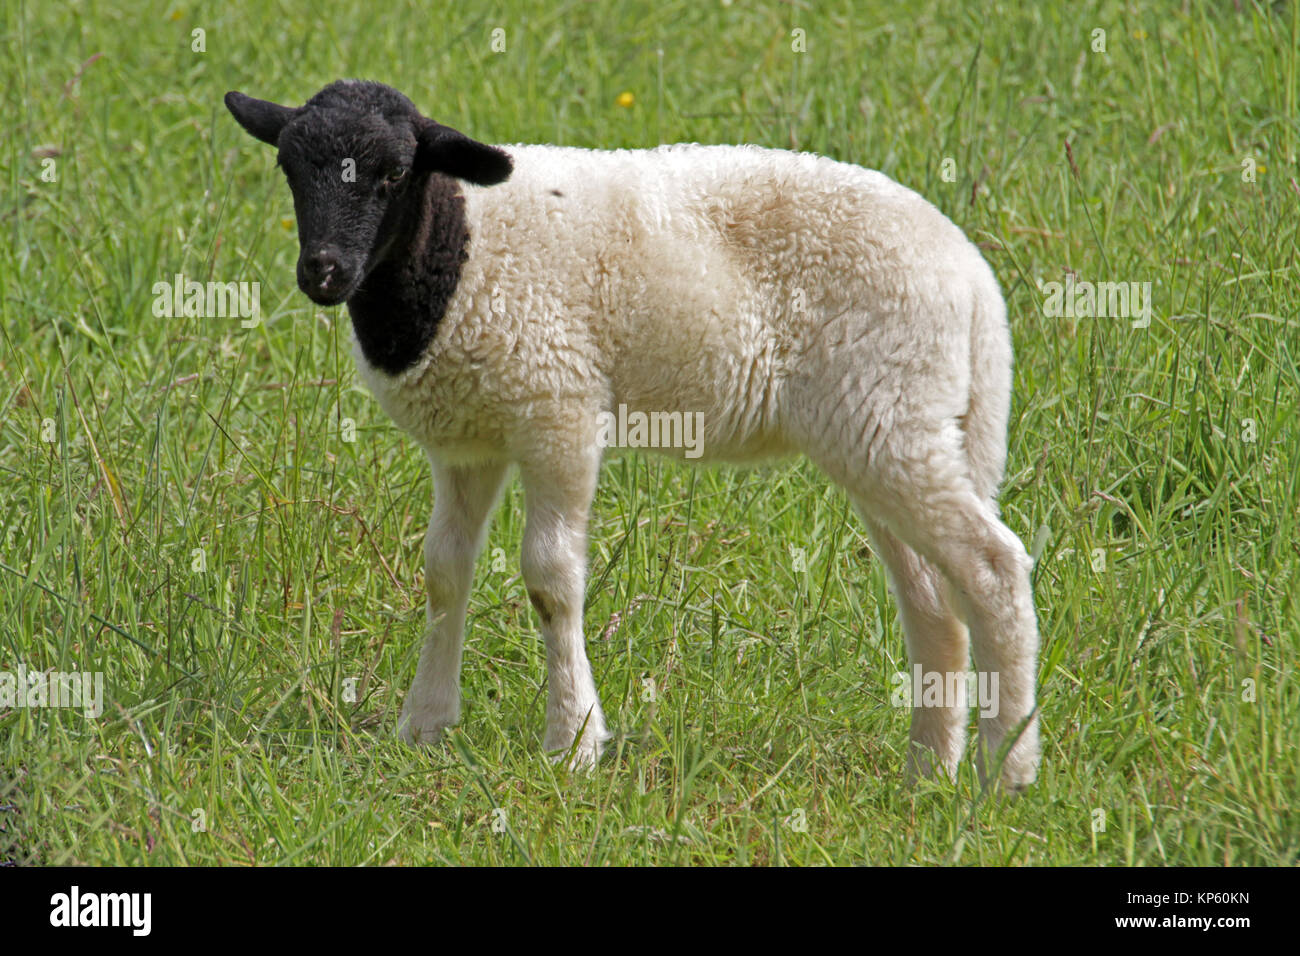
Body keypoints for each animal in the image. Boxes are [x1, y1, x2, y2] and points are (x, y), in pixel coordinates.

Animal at [225, 79, 1041, 791]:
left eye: (394, 173)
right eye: (289, 167)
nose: (323, 272)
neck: (461, 248)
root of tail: (973, 281)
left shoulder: (558, 409)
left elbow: (550, 578)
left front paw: (574, 741)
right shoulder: (469, 441)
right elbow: (444, 571)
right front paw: (423, 726)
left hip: (891, 415)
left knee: (993, 569)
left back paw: (1005, 772)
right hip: (890, 429)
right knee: (935, 604)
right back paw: (927, 772)